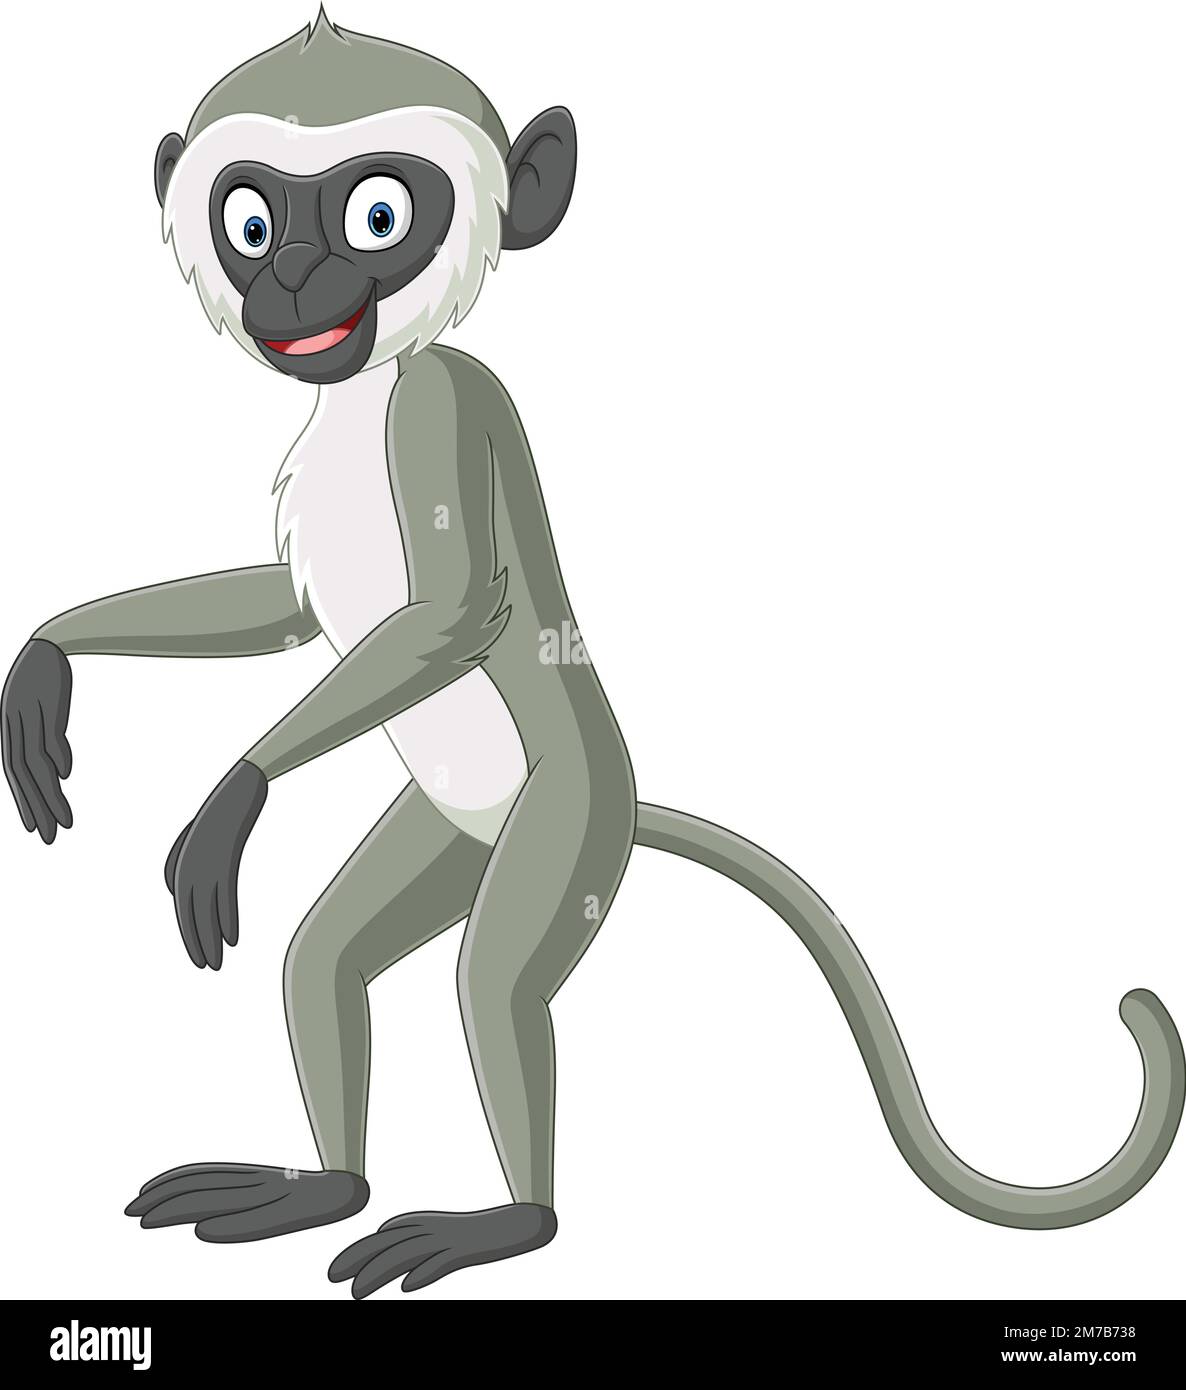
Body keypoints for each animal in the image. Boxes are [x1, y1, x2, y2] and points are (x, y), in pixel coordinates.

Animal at [2, 12, 1182, 1298]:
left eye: (377, 215)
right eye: (251, 223)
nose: (288, 278)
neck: (366, 390)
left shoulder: (438, 408)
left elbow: (450, 613)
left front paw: (232, 793)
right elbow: (294, 616)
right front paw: (46, 661)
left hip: (566, 821)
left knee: (490, 978)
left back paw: (508, 1221)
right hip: (451, 829)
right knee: (327, 956)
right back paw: (321, 1186)